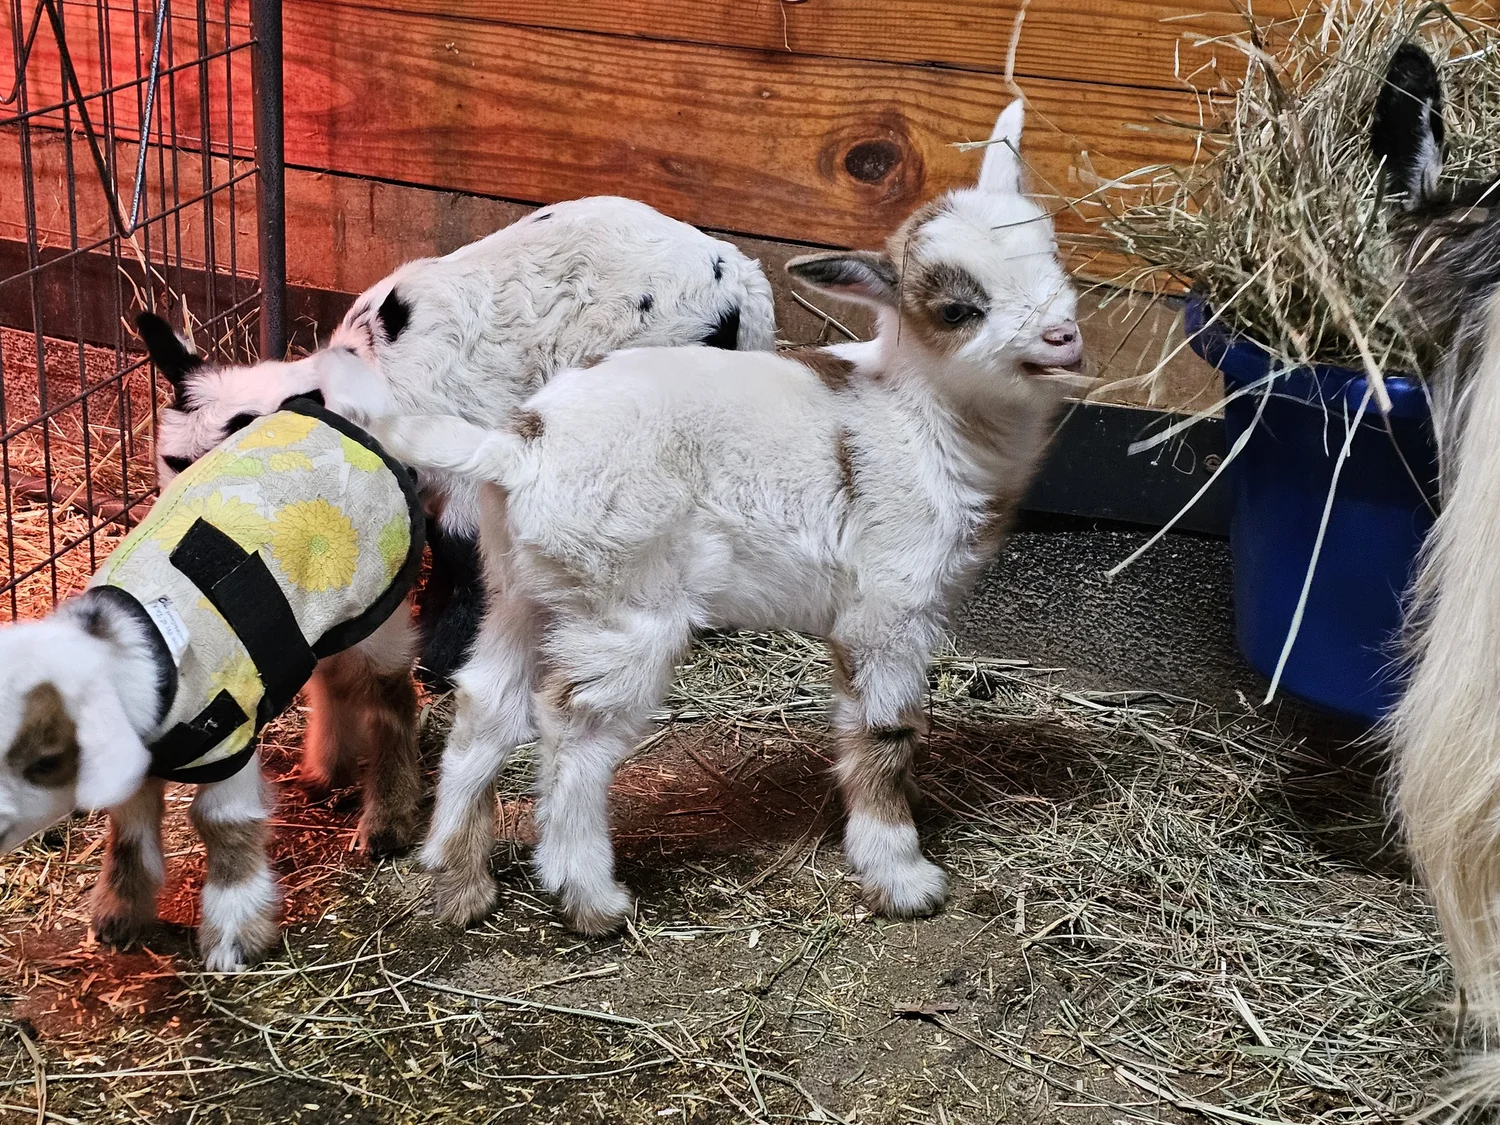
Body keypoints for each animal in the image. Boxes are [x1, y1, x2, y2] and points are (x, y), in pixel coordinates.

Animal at [374, 102, 1085, 933]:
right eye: (957, 310)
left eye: (1053, 256)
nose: (1064, 337)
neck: (921, 416)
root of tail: (519, 447)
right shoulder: (889, 609)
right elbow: (884, 734)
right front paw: (902, 875)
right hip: (626, 604)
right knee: (573, 724)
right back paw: (590, 896)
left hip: (524, 589)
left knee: (486, 705)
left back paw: (460, 883)